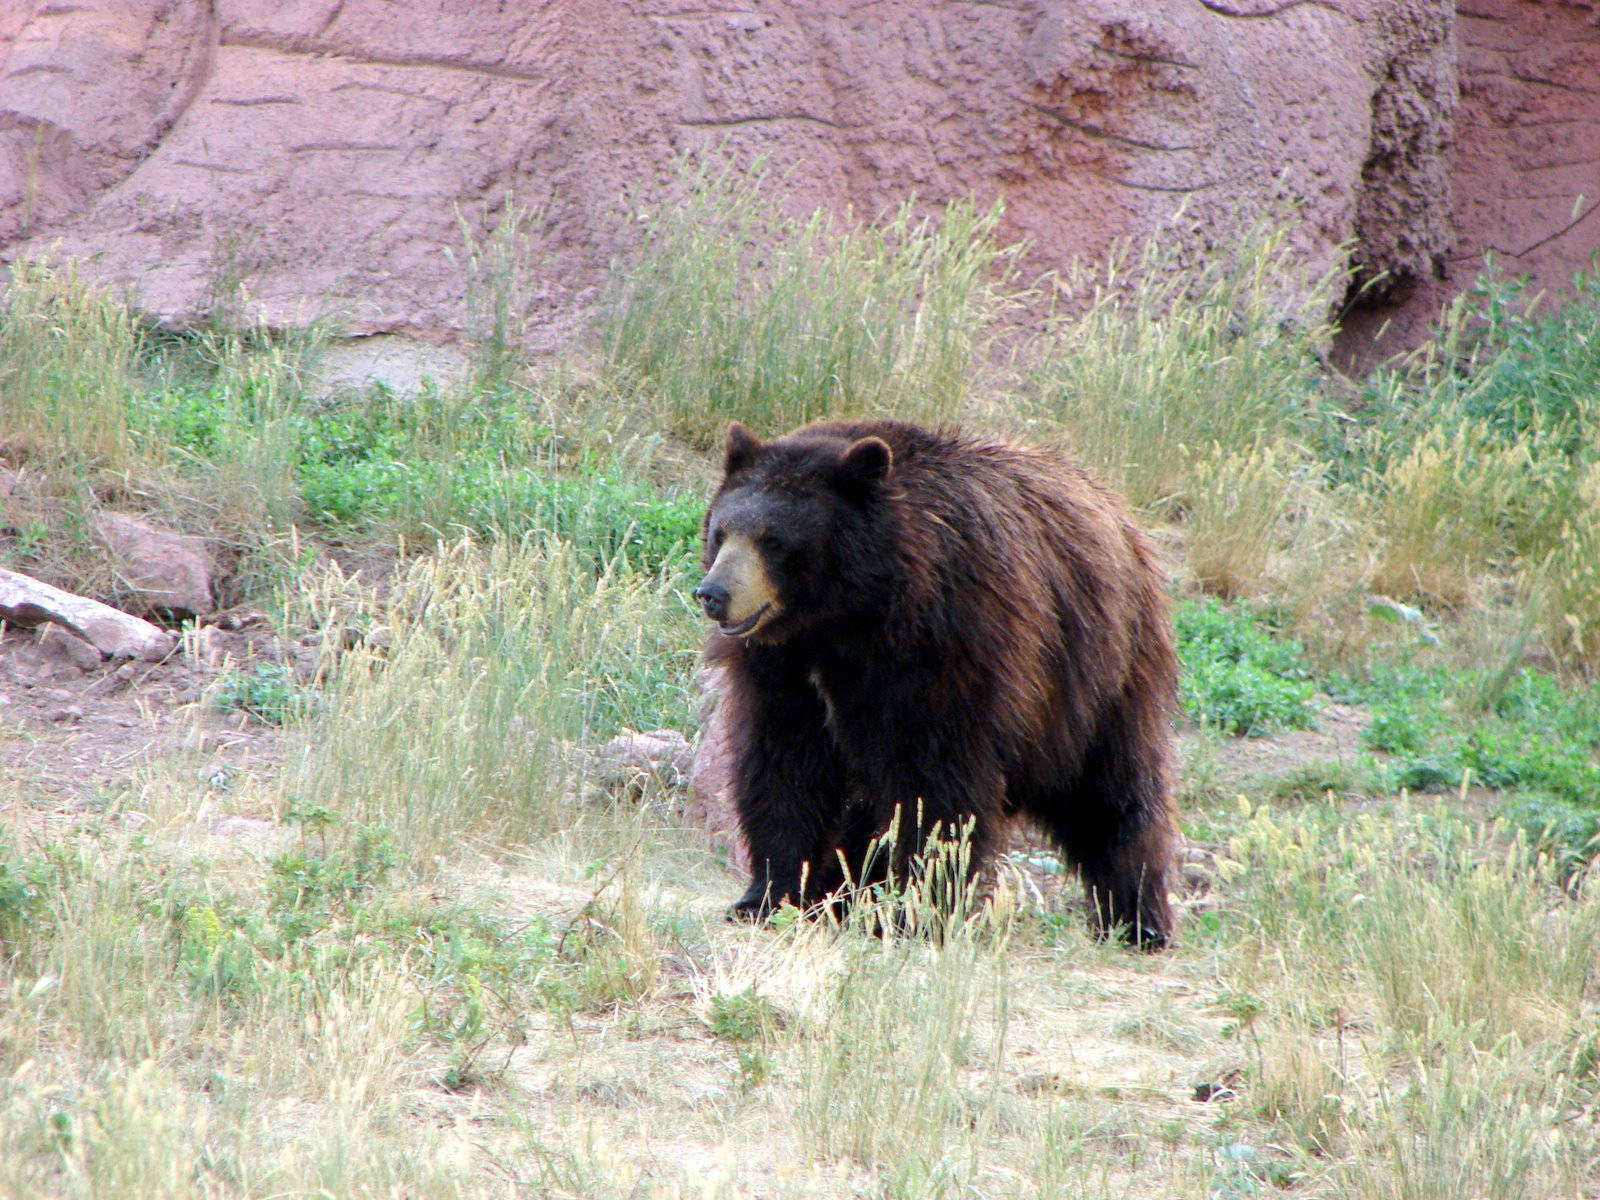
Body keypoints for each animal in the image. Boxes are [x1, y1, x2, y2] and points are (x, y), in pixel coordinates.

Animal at [694, 418, 1179, 948]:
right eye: (721, 531)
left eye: (773, 539)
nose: (713, 594)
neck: (846, 618)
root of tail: (1121, 517)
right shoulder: (784, 673)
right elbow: (784, 769)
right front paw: (769, 895)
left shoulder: (948, 645)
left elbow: (936, 786)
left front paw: (921, 906)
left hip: (1101, 672)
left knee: (1110, 794)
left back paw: (1137, 916)